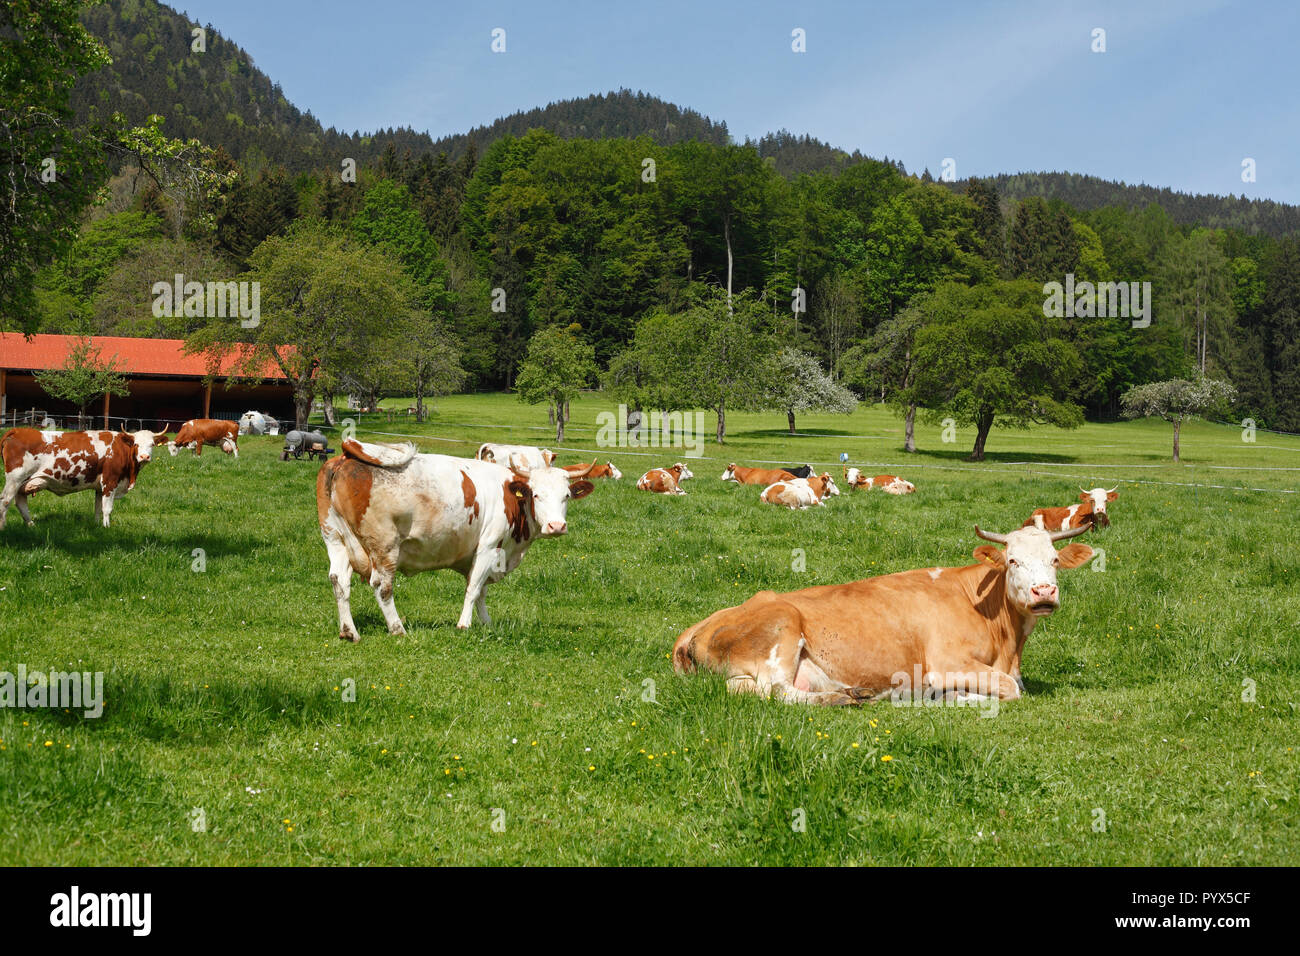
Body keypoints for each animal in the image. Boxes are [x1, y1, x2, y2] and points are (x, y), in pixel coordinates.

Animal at [1, 427, 167, 528]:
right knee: (5, 501)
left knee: (20, 503)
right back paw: (4, 527)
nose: (144, 457)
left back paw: (31, 525)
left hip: (23, 482)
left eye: (152, 444)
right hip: (15, 478)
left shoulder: (99, 487)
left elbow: (98, 508)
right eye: (136, 444)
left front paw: (98, 526)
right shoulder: (110, 481)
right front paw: (107, 528)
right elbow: (107, 509)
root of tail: (18, 430)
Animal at [317, 439, 596, 638]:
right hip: (384, 547)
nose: (556, 526)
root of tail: (345, 457)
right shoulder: (488, 548)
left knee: (339, 580)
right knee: (381, 586)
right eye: (536, 495)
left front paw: (487, 623)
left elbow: (481, 590)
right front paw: (464, 624)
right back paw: (398, 629)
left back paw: (349, 632)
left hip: (335, 538)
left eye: (566, 496)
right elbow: (473, 589)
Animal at [672, 524, 1094, 705]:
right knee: (775, 690)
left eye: (1054, 560)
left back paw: (852, 693)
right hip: (782, 627)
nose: (1044, 592)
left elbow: (1014, 685)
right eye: (1012, 561)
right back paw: (843, 699)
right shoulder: (947, 663)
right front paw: (946, 694)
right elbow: (1009, 690)